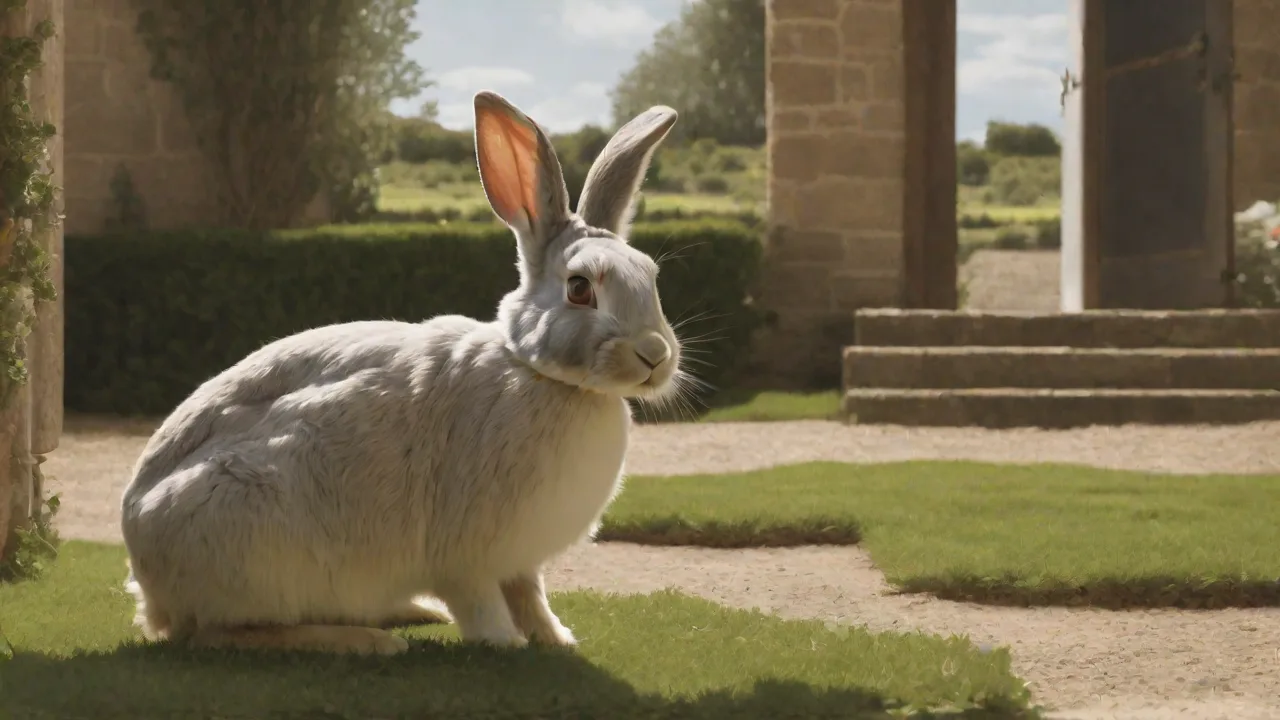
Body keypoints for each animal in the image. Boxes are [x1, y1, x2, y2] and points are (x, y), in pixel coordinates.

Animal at [118, 90, 684, 656]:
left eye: (652, 276)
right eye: (580, 288)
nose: (655, 354)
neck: (542, 373)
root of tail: (147, 577)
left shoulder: (519, 561)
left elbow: (531, 596)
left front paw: (557, 639)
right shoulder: (467, 558)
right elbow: (482, 602)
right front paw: (504, 643)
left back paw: (411, 614)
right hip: (249, 540)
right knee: (219, 633)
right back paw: (369, 640)